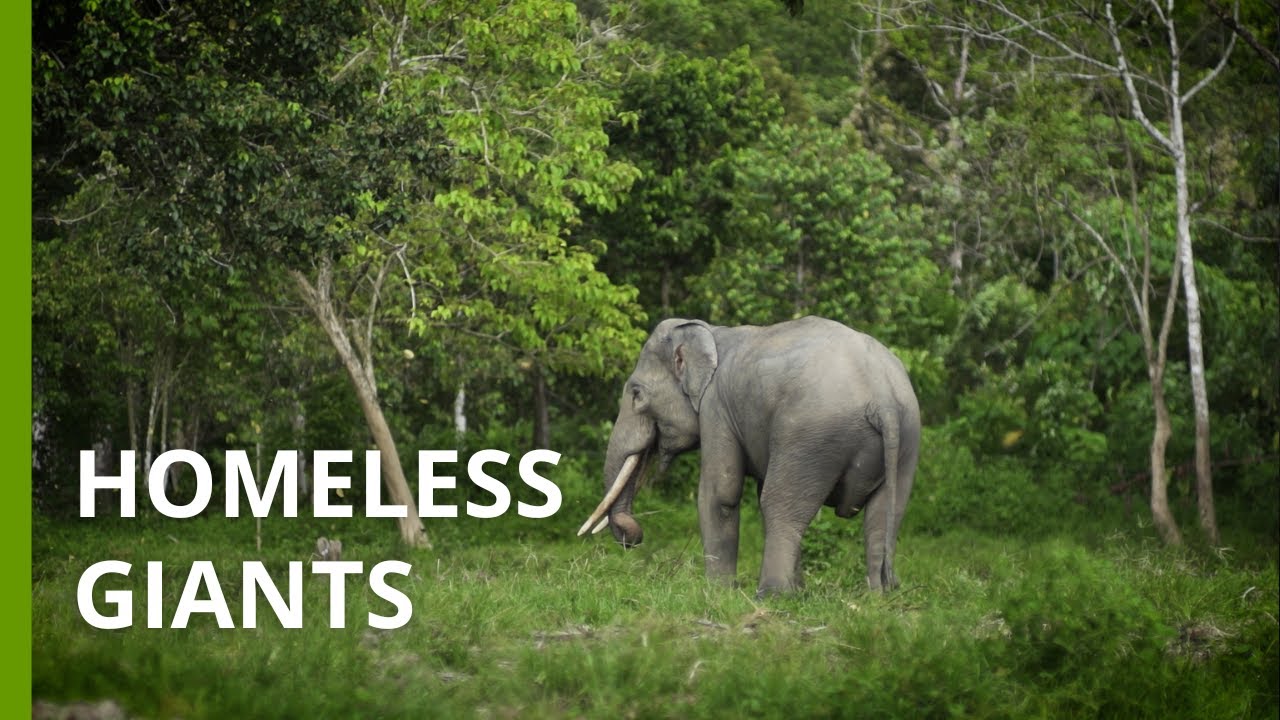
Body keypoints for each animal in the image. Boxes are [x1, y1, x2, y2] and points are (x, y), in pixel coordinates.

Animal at [578, 316, 920, 596]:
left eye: (636, 394)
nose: (632, 538)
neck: (711, 332)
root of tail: (883, 399)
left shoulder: (716, 407)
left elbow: (720, 493)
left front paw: (717, 594)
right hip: (907, 438)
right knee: (885, 513)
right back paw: (875, 597)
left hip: (812, 436)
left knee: (779, 505)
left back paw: (772, 596)